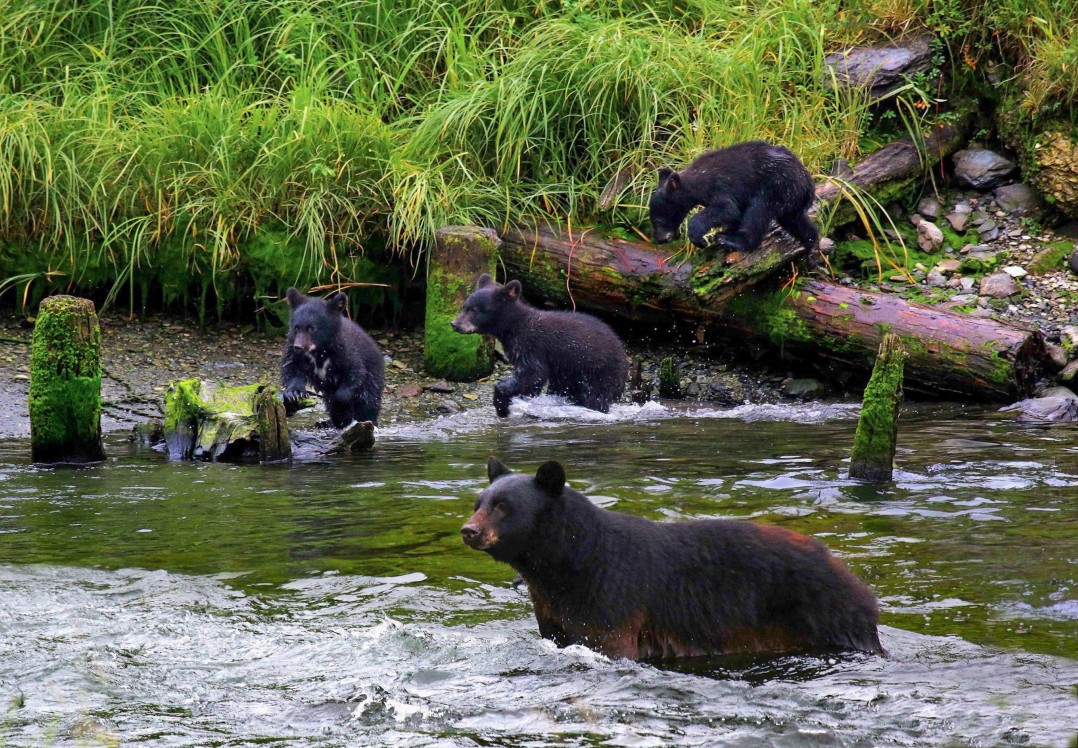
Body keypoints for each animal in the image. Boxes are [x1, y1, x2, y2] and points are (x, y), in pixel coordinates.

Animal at [280, 288, 385, 428]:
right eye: (296, 327)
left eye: (312, 328)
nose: (298, 347)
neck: (319, 350)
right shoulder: (292, 348)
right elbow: (291, 367)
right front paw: (294, 394)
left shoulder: (345, 352)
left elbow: (354, 372)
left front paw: (339, 401)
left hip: (373, 374)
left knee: (368, 400)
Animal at [450, 274, 628, 417]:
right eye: (464, 307)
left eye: (474, 310)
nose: (454, 324)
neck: (514, 326)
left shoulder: (530, 346)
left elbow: (533, 374)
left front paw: (502, 406)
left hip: (600, 373)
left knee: (595, 397)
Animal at [461, 457, 883, 661]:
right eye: (479, 502)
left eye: (503, 506)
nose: (469, 530)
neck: (568, 565)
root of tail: (859, 585)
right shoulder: (552, 610)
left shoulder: (611, 600)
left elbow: (609, 641)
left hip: (823, 615)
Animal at [649, 140, 819, 259]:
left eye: (659, 218)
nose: (660, 239)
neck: (697, 180)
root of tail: (808, 184)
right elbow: (735, 214)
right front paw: (726, 231)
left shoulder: (721, 186)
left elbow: (727, 209)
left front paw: (701, 239)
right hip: (790, 197)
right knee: (795, 219)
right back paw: (812, 245)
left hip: (776, 187)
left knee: (758, 212)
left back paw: (733, 241)